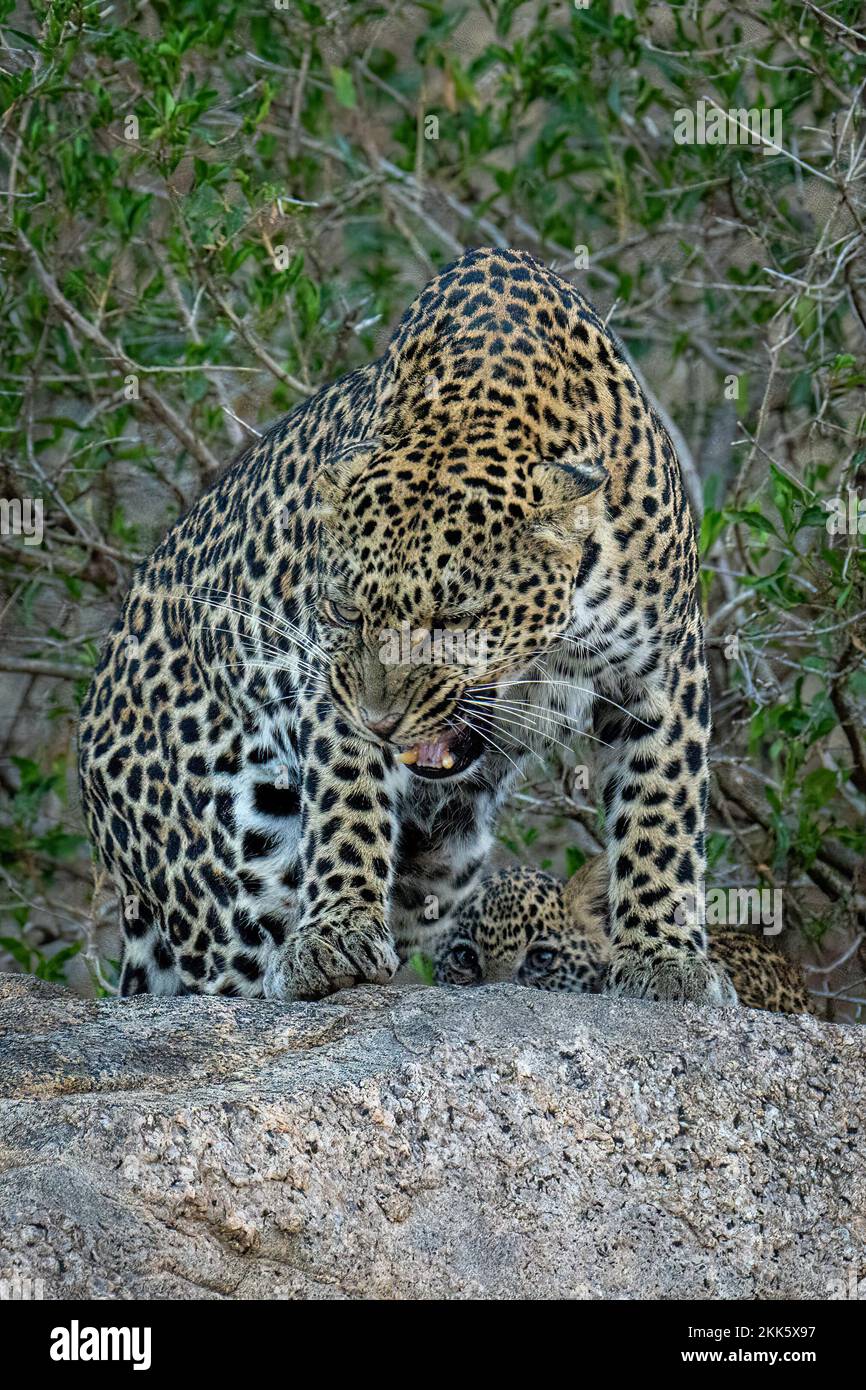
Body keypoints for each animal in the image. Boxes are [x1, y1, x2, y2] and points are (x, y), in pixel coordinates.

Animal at [78, 245, 735, 1005]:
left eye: (457, 617)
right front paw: (334, 935)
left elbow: (660, 812)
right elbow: (349, 797)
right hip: (229, 865)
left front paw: (664, 958)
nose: (383, 723)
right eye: (347, 611)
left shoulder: (660, 671)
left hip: (447, 865)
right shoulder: (327, 677)